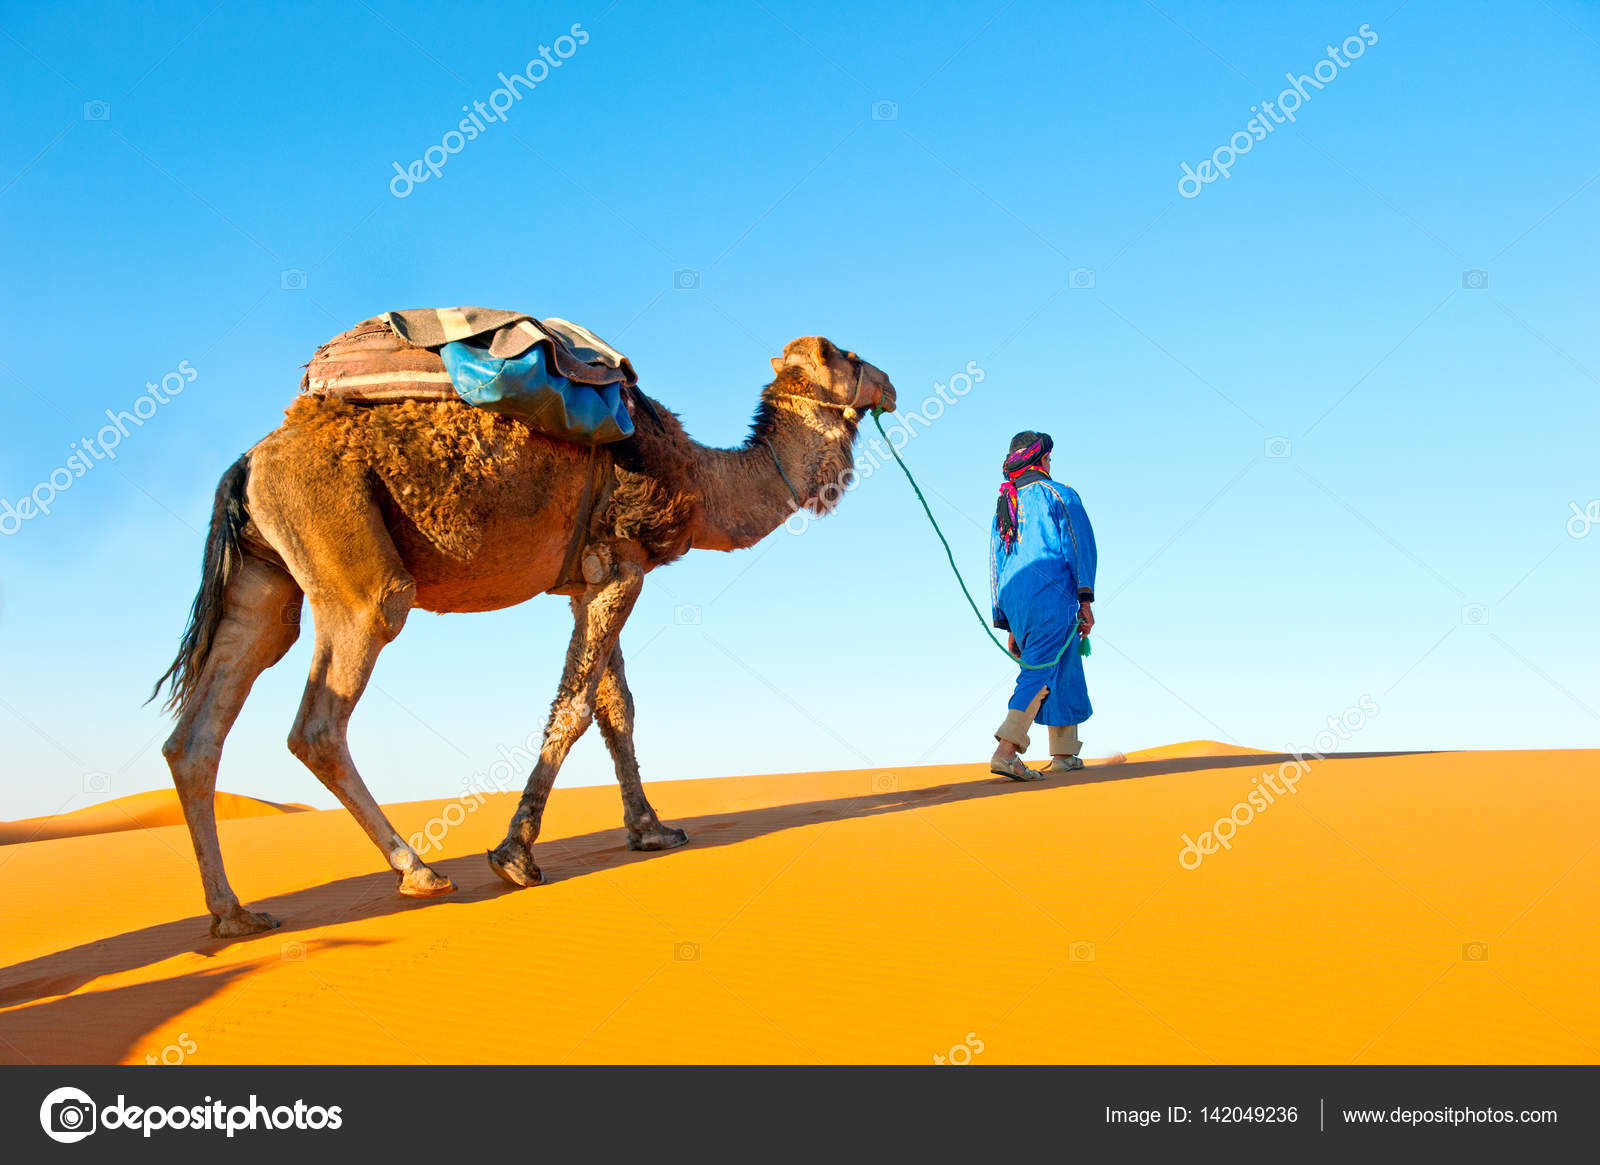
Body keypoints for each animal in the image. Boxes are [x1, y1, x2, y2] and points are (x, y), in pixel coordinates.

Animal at [154, 334, 896, 936]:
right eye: (846, 354)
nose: (890, 383)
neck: (700, 483)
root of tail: (246, 465)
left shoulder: (589, 580)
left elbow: (616, 709)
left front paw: (651, 830)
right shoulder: (620, 565)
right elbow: (575, 709)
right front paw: (516, 854)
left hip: (265, 577)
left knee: (200, 733)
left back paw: (234, 913)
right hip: (352, 565)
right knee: (320, 717)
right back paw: (419, 870)